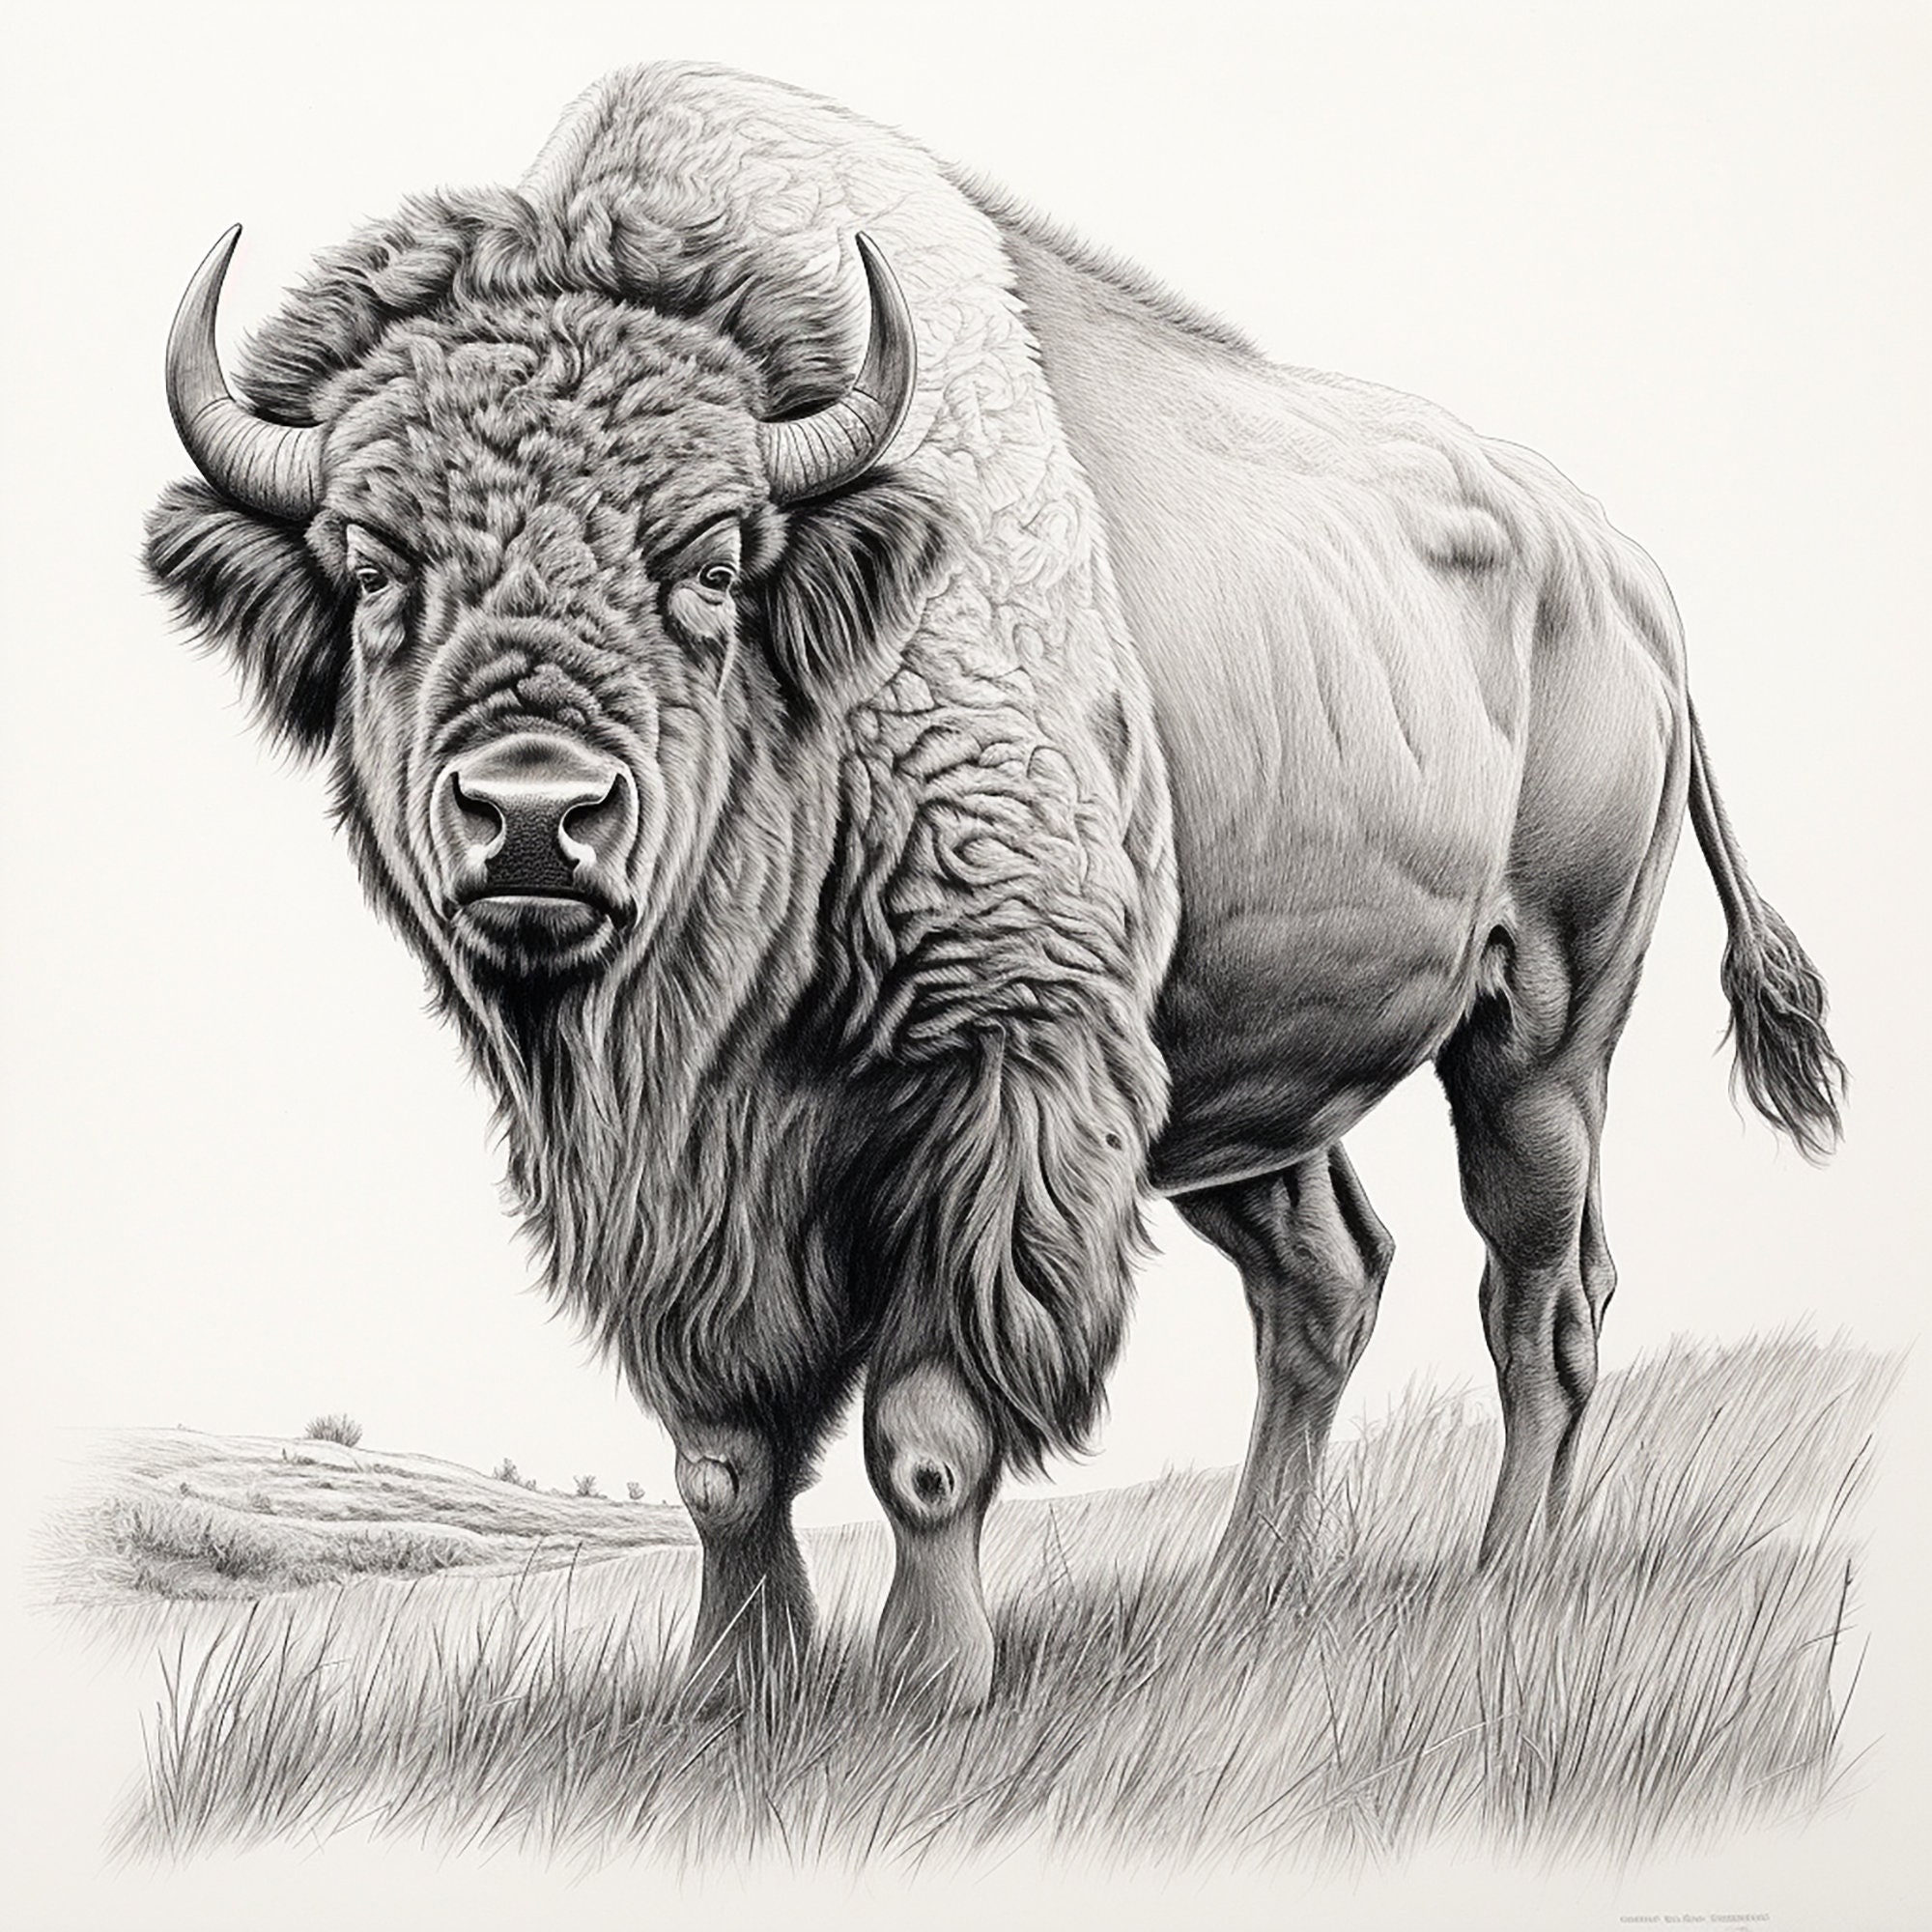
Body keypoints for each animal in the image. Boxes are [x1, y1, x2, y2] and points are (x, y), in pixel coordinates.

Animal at [146, 62, 1844, 1708]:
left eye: (713, 563)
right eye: (372, 569)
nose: (532, 819)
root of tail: (1626, 583)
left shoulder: (1012, 1090)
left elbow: (926, 1430)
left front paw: (934, 1679)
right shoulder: (675, 1184)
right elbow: (723, 1458)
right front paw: (734, 1685)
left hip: (1542, 1037)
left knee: (1542, 1302)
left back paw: (1509, 1574)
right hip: (1244, 1085)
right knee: (1327, 1286)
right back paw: (1249, 1591)